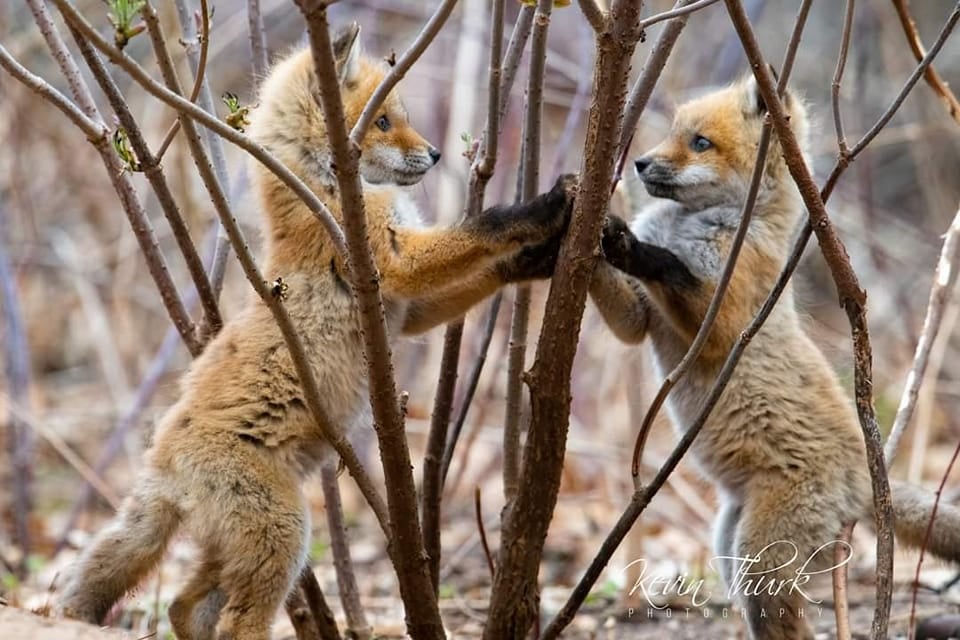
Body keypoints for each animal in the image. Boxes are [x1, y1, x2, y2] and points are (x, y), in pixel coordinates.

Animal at [57, 23, 576, 640]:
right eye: (383, 122)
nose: (435, 153)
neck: (323, 193)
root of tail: (162, 464)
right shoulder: (388, 263)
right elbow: (485, 226)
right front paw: (543, 207)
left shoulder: (405, 309)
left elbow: (482, 272)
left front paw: (541, 258)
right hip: (283, 533)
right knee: (234, 621)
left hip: (234, 545)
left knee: (182, 604)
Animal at [588, 77, 960, 639]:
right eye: (675, 133)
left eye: (700, 143)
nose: (640, 163)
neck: (696, 225)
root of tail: (867, 474)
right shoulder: (638, 318)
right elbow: (622, 305)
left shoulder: (727, 320)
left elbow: (672, 270)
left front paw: (632, 247)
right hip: (730, 549)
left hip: (759, 557)